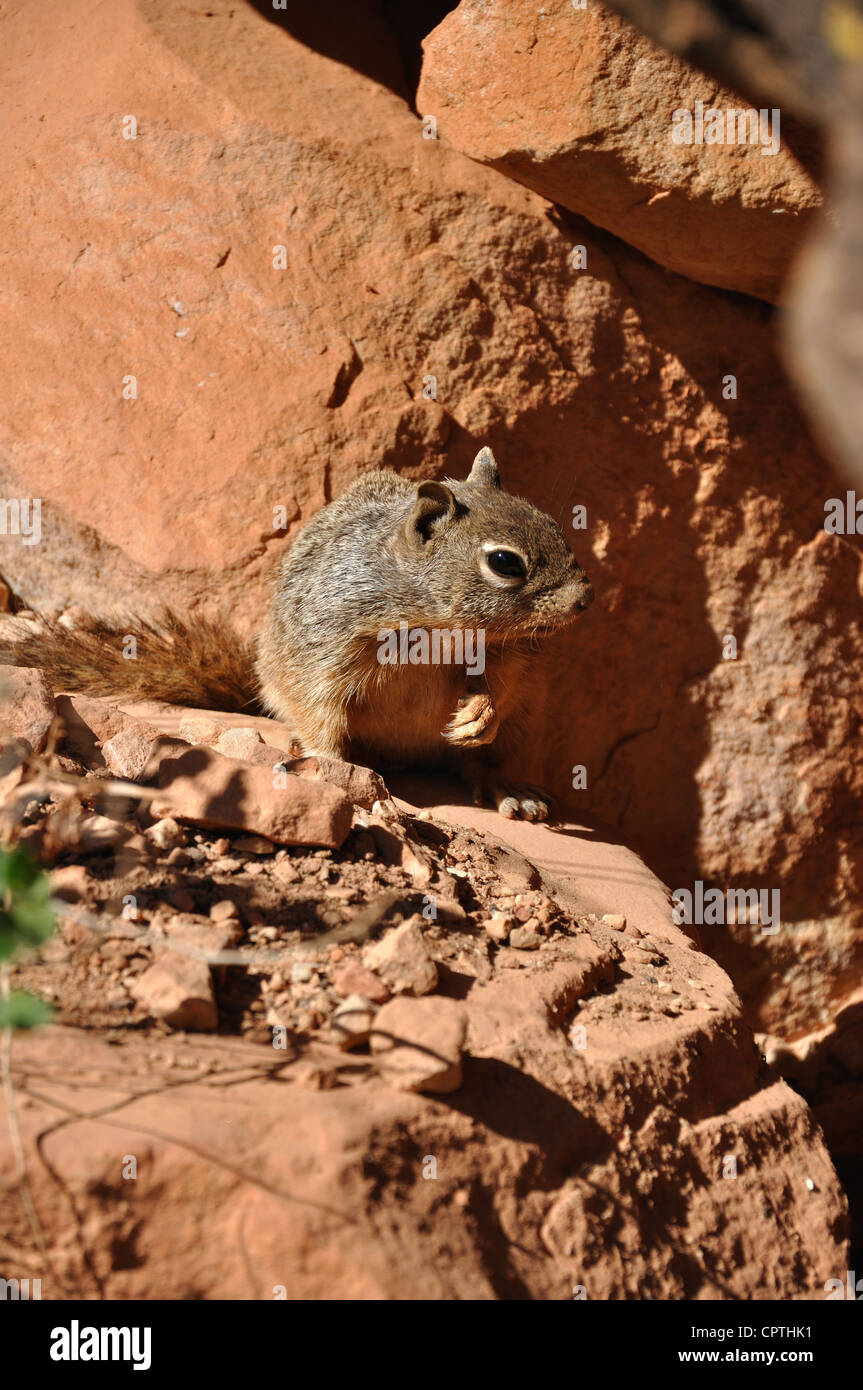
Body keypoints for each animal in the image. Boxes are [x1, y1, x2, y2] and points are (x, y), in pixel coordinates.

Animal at [0, 448, 593, 820]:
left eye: (554, 524)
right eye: (505, 563)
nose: (584, 598)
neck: (438, 624)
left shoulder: (511, 658)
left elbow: (497, 691)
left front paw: (478, 716)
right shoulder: (327, 650)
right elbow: (320, 712)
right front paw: (335, 769)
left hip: (528, 718)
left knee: (479, 761)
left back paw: (505, 785)